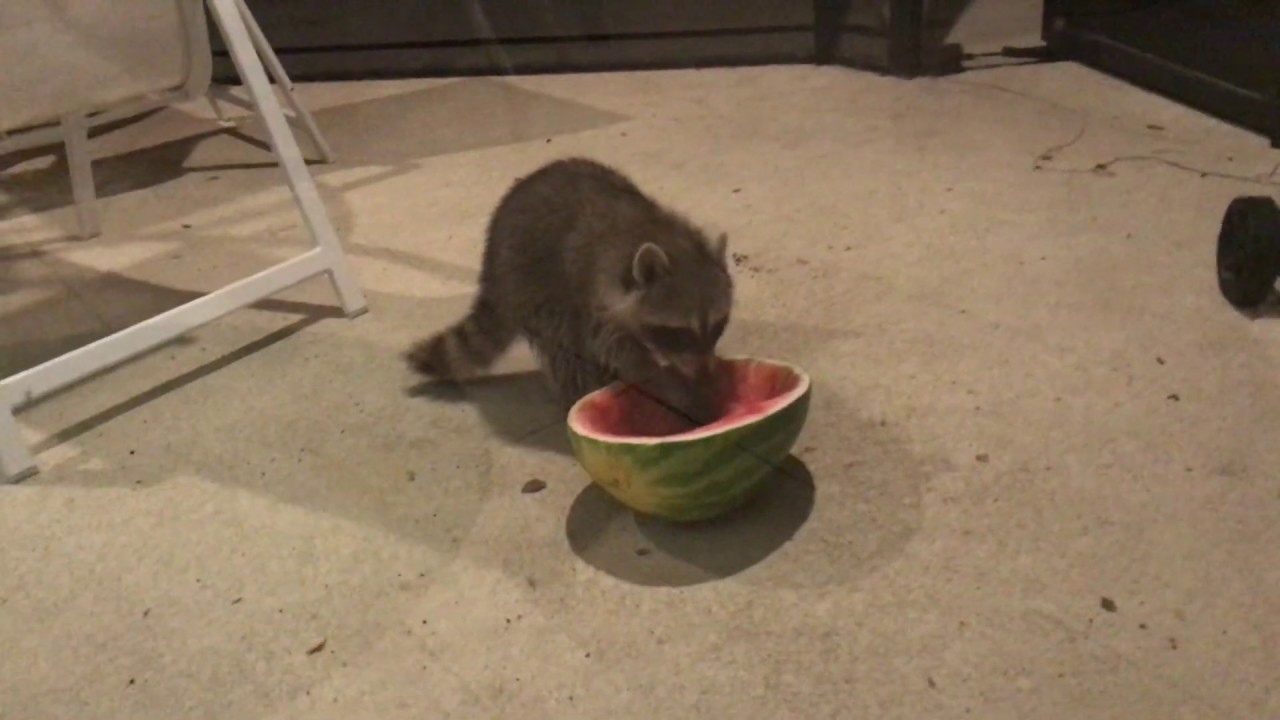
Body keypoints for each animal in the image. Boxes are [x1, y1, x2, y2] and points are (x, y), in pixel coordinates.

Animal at [405, 157, 734, 425]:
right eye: (679, 331)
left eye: (717, 325)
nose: (705, 372)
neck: (664, 237)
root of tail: (492, 265)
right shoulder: (592, 291)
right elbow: (619, 353)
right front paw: (672, 388)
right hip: (532, 284)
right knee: (564, 345)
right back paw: (582, 392)